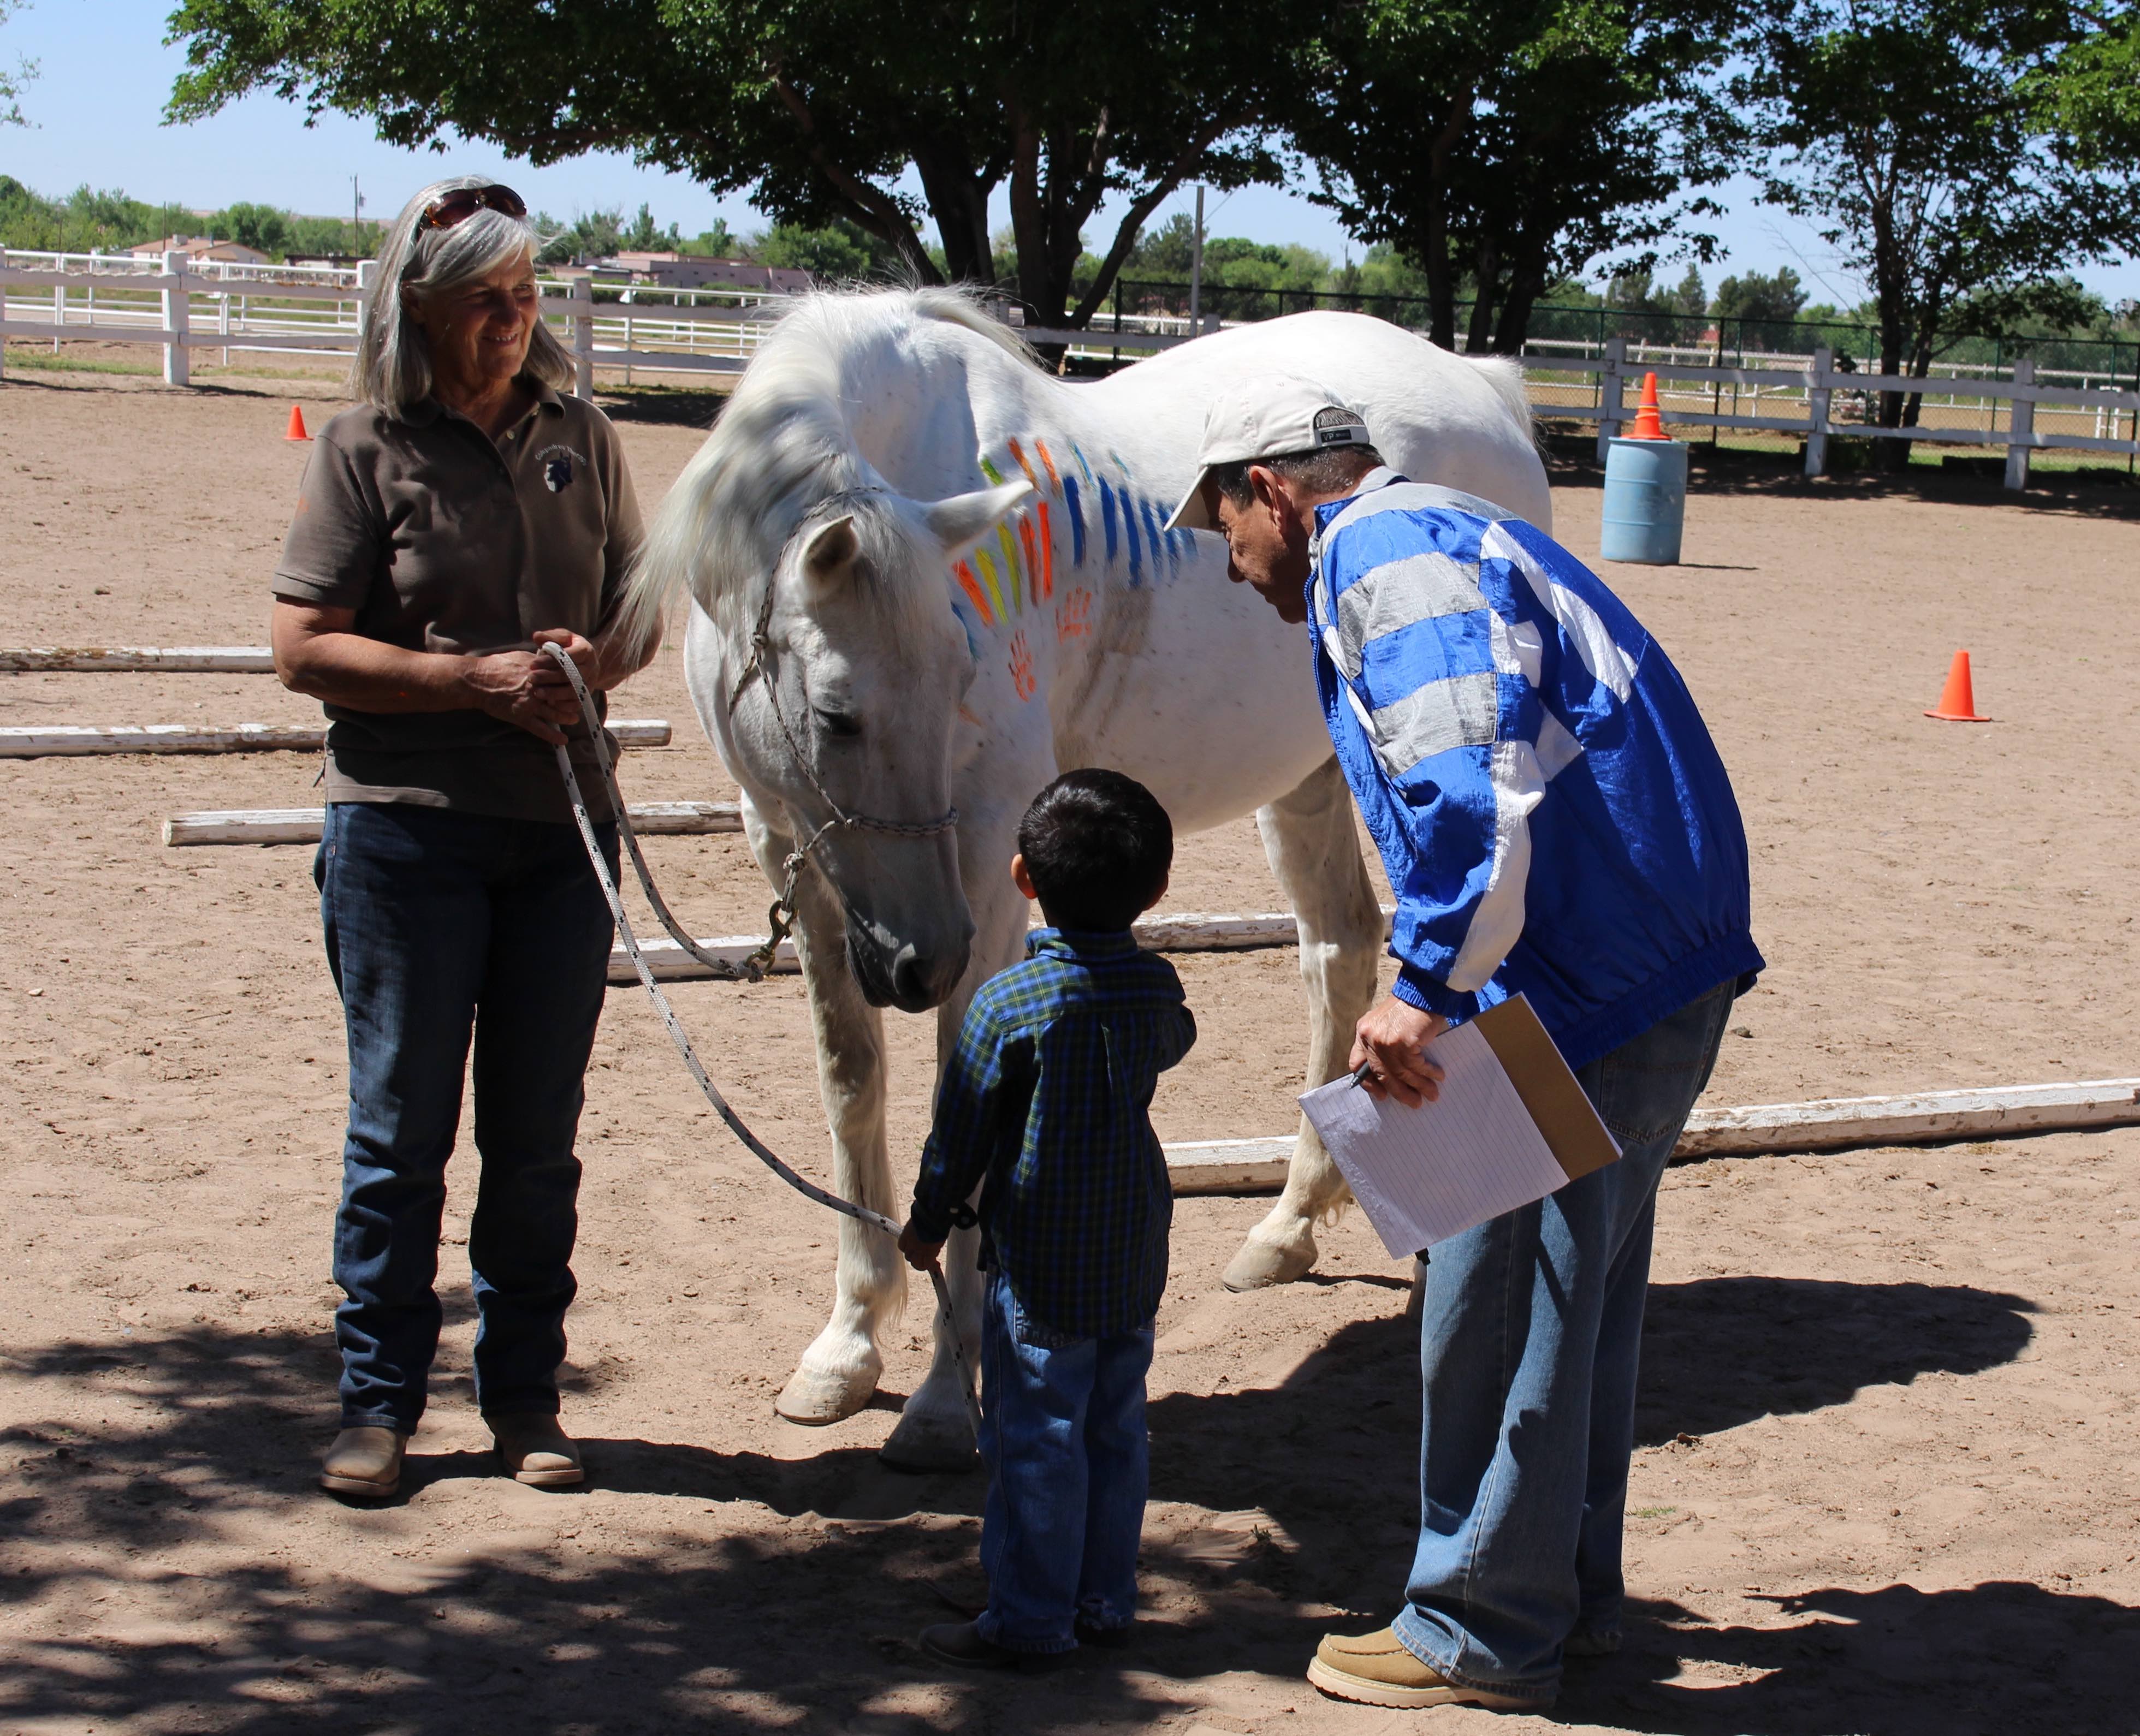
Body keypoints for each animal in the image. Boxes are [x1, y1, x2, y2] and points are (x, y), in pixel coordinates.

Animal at [621, 286, 1550, 1469]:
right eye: (838, 715)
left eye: (960, 675)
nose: (921, 959)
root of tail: (1482, 385)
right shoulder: (805, 868)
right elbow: (852, 1090)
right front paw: (845, 1347)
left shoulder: (986, 873)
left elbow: (962, 1106)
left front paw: (942, 1402)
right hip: (1306, 776)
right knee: (1339, 952)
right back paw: (1286, 1227)